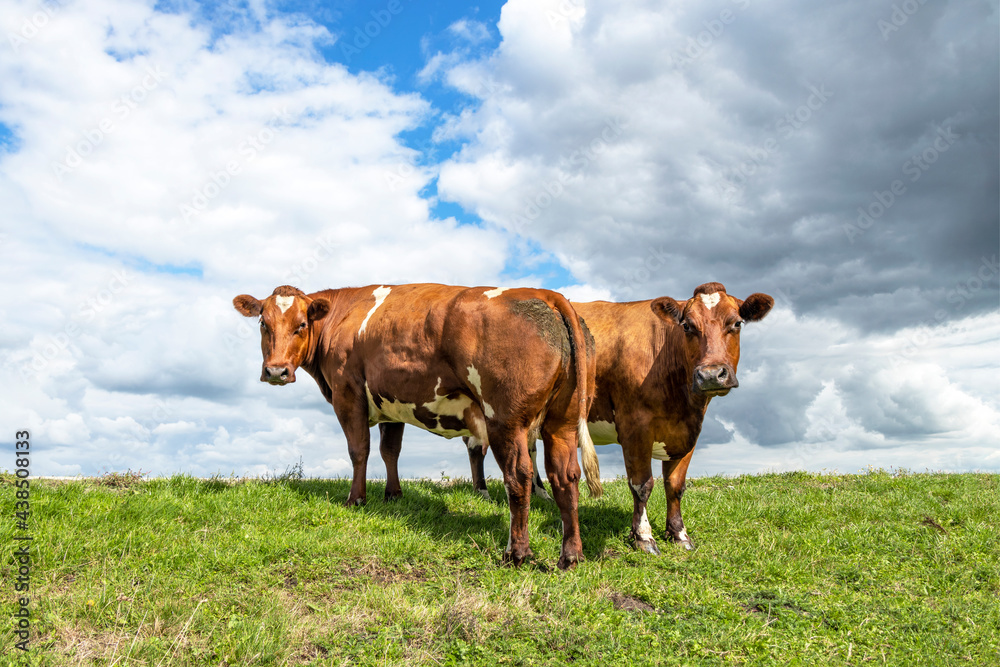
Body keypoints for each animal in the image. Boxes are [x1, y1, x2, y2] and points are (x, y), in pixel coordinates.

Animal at [232, 284, 602, 569]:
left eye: (301, 324)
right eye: (264, 323)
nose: (276, 371)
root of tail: (546, 294)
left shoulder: (347, 394)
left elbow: (359, 450)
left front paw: (356, 499)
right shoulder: (391, 403)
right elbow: (390, 451)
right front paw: (393, 494)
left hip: (506, 420)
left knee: (519, 476)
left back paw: (517, 553)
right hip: (562, 423)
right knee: (565, 477)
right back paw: (571, 556)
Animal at [467, 282, 773, 553]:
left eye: (737, 323)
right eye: (687, 326)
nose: (710, 375)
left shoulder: (688, 433)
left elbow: (675, 486)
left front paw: (679, 534)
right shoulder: (635, 427)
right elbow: (642, 485)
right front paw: (644, 537)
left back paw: (540, 495)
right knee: (478, 448)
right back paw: (482, 492)